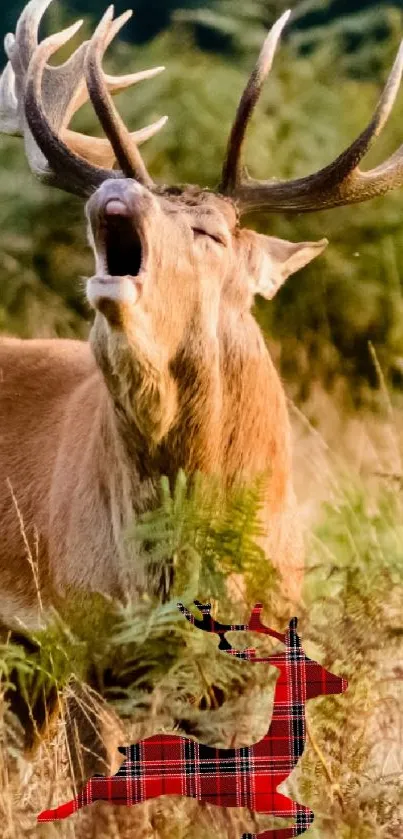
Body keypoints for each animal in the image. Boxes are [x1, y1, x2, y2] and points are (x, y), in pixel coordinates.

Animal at [37, 601, 348, 838]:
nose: (342, 681)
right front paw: (253, 834)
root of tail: (130, 747)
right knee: (95, 784)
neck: (271, 755)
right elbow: (306, 814)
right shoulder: (259, 794)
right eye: (309, 665)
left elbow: (307, 814)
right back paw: (46, 817)